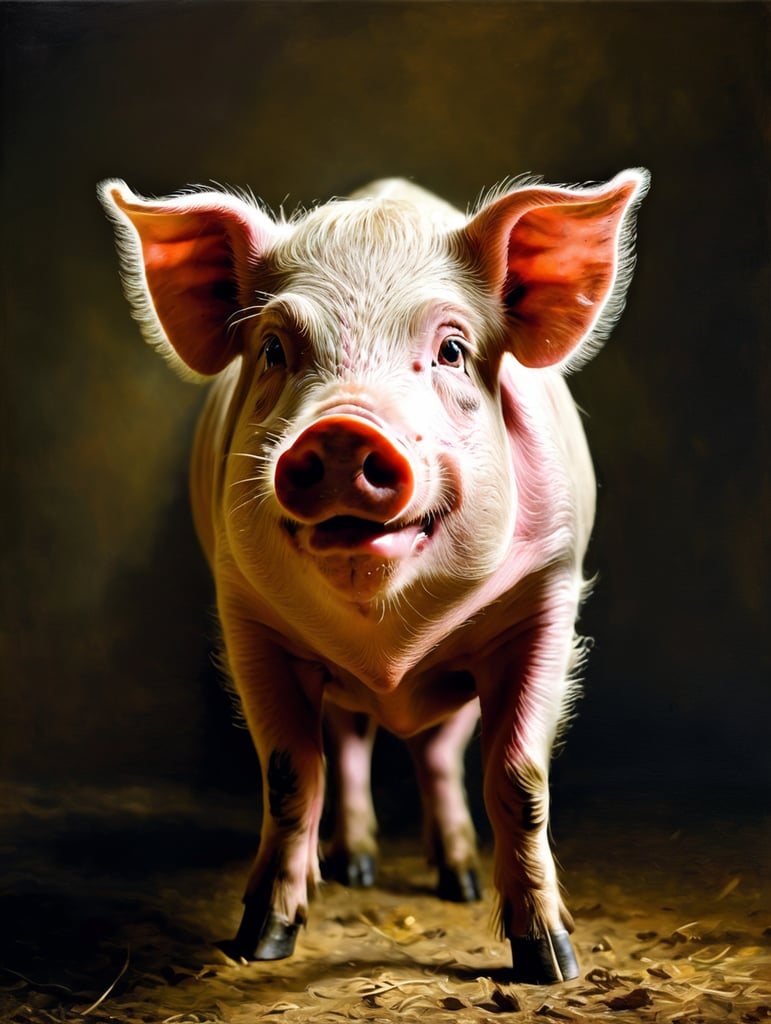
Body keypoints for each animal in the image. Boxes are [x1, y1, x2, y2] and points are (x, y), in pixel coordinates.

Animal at [99, 168, 648, 983]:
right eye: (273, 348)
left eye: (451, 349)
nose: (341, 430)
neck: (386, 641)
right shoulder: (248, 617)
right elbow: (291, 773)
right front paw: (259, 943)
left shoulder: (545, 599)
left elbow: (518, 777)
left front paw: (550, 963)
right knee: (350, 749)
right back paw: (353, 867)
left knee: (437, 755)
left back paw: (456, 880)